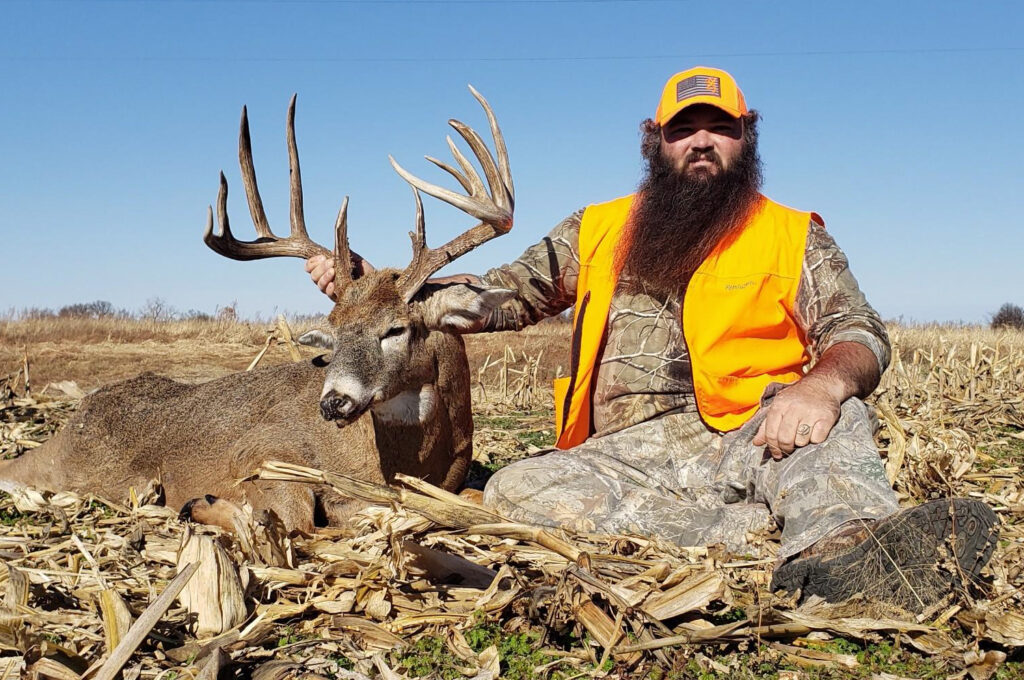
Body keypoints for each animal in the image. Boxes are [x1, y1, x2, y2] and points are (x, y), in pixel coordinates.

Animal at [0, 87, 516, 532]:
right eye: (334, 330)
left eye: (395, 329)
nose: (333, 401)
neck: (407, 460)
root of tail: (76, 415)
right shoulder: (262, 453)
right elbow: (302, 520)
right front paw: (206, 505)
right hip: (75, 469)